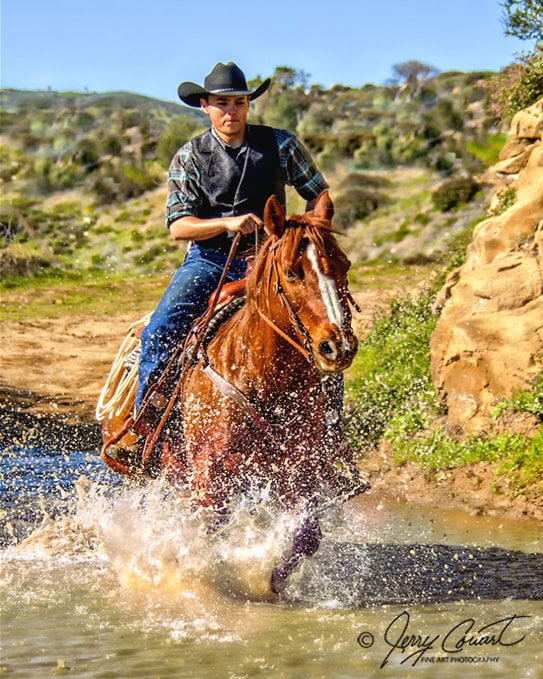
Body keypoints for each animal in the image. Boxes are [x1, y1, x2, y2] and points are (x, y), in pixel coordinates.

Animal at [159, 190, 363, 593]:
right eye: (291, 272)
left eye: (344, 265)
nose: (338, 347)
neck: (261, 378)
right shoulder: (208, 474)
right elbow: (209, 536)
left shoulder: (297, 470)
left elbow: (307, 536)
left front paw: (272, 582)